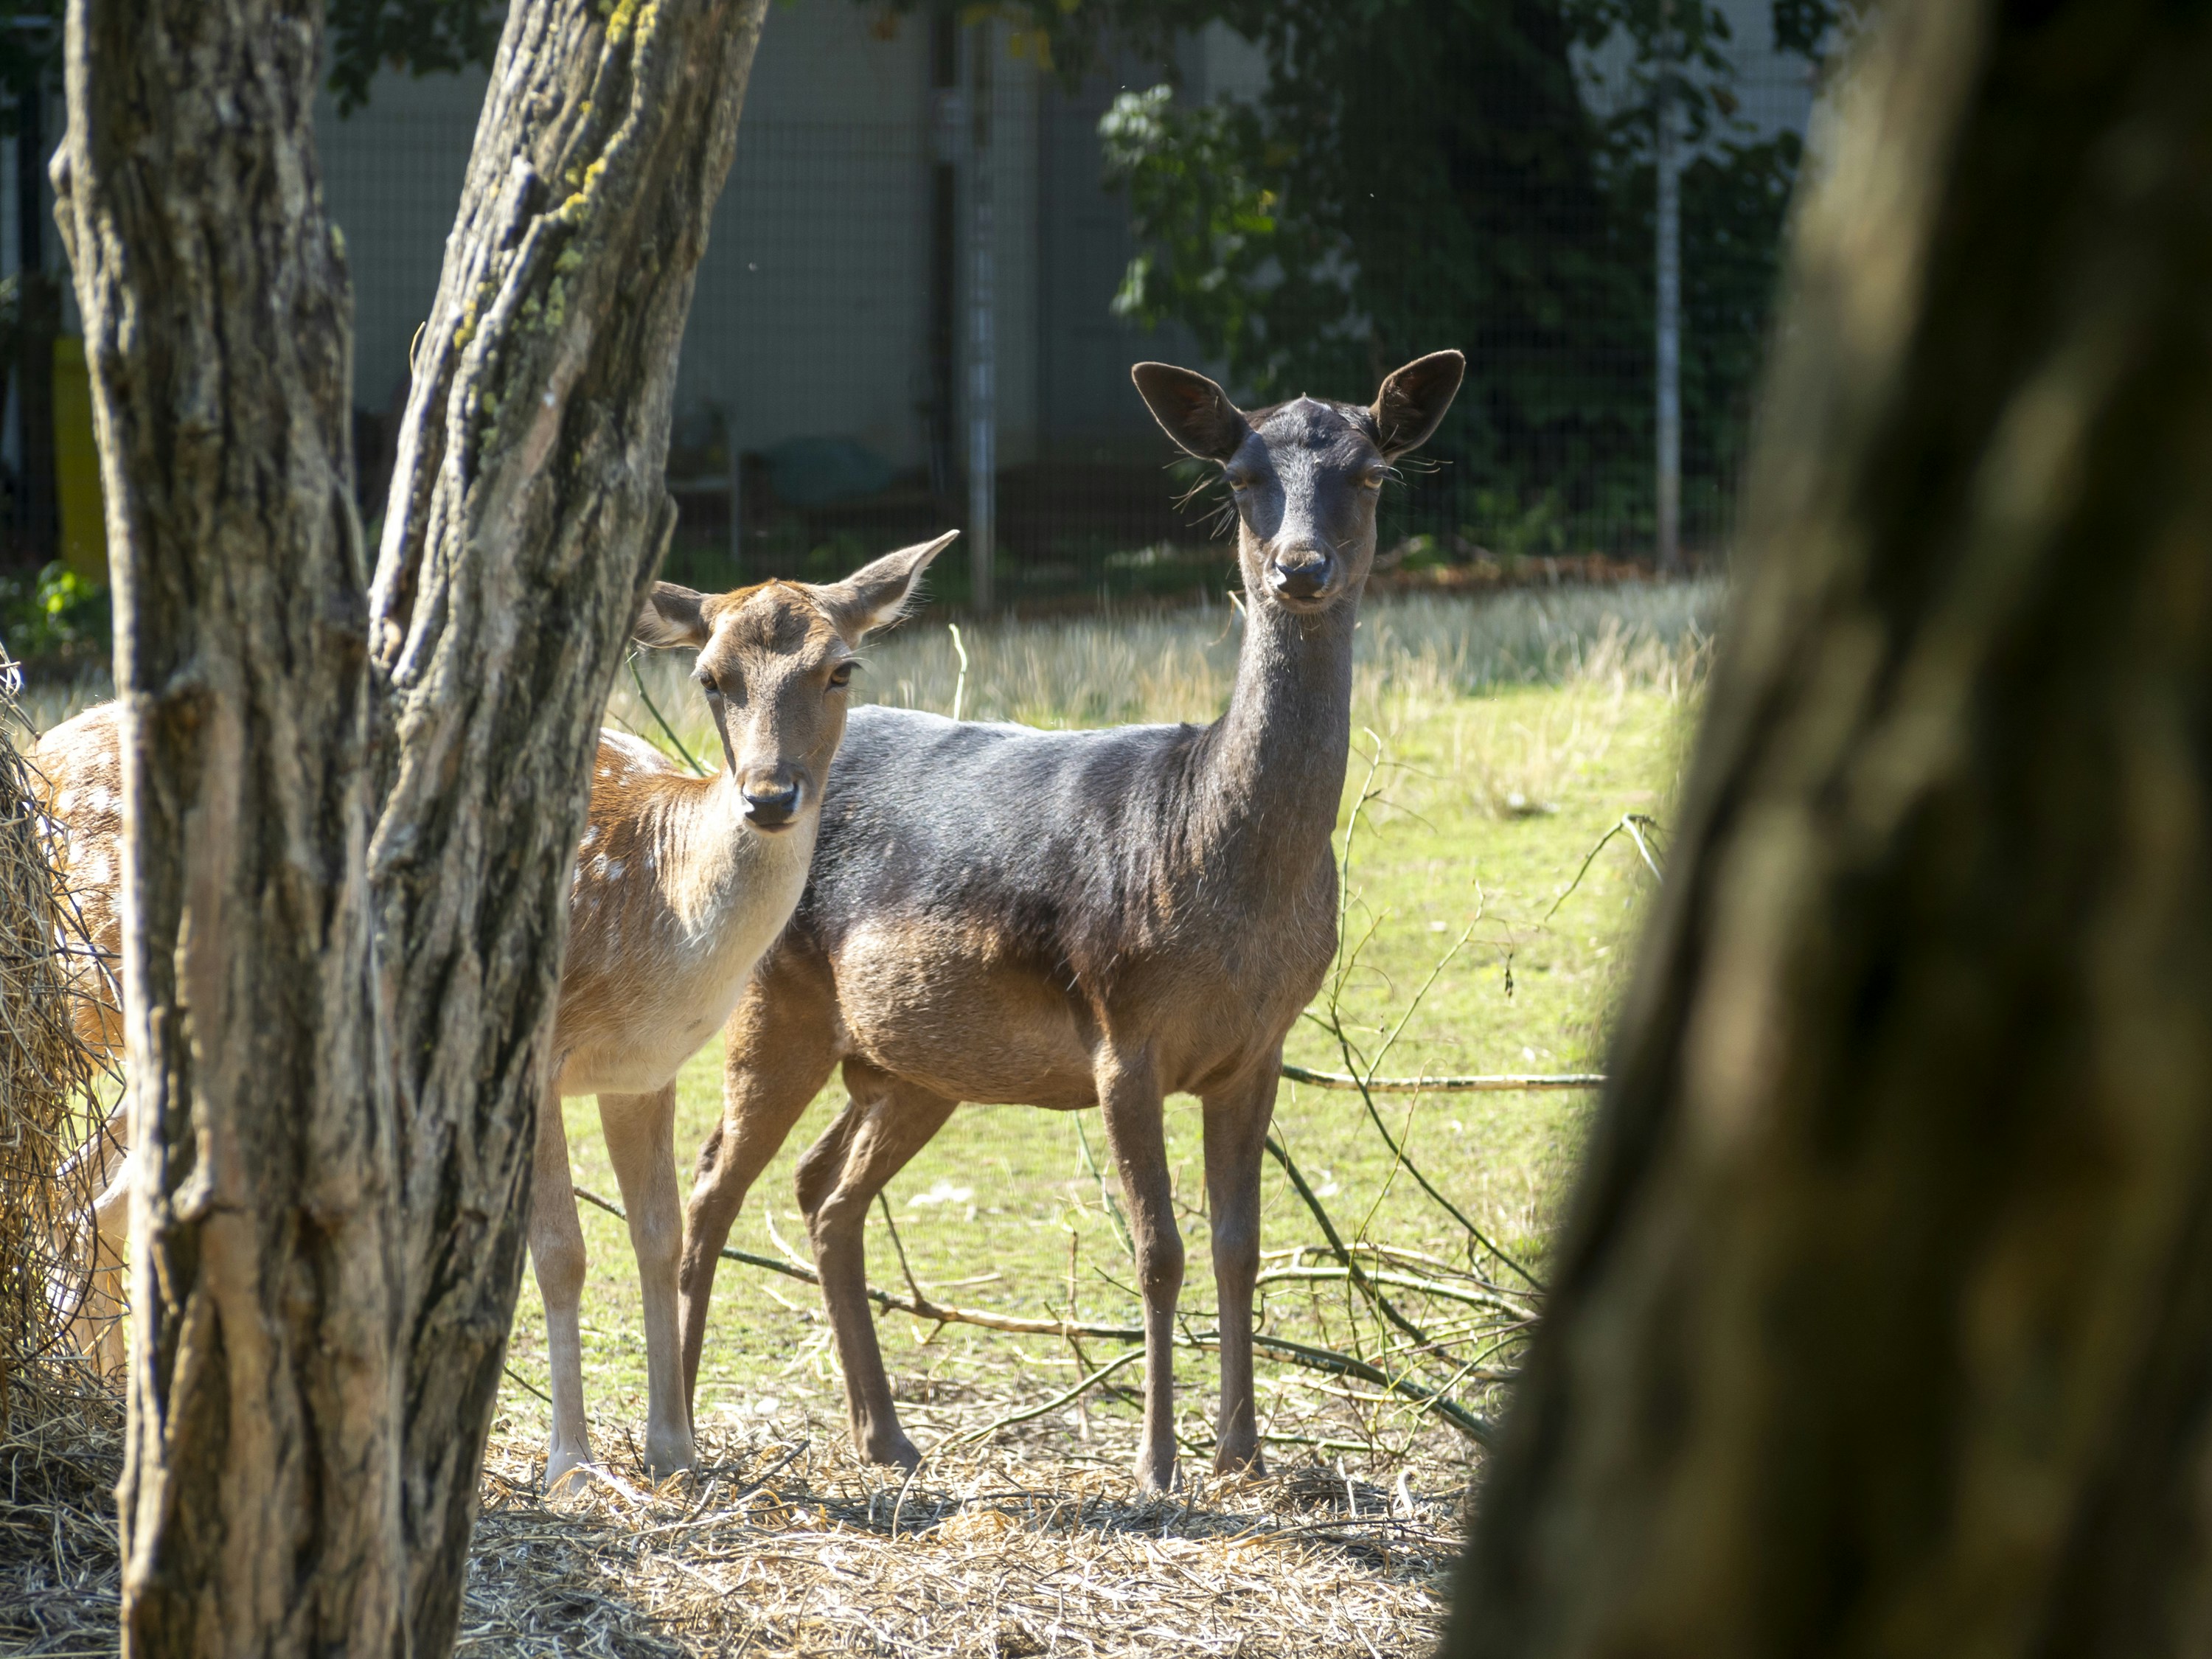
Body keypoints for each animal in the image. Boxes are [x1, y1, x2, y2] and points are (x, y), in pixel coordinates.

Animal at [28, 530, 955, 1491]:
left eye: (840, 669)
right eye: (710, 676)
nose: (769, 797)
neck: (668, 916)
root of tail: (36, 762)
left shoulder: (643, 1072)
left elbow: (658, 1238)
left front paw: (673, 1453)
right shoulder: (534, 1050)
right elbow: (561, 1252)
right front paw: (572, 1466)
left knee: (85, 1192)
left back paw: (105, 1400)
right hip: (113, 989)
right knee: (102, 1194)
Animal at [669, 353, 1465, 1492]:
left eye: (1369, 472)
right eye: (1240, 477)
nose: (1299, 567)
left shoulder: (1260, 1045)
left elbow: (1239, 1244)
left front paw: (1244, 1453)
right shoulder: (1121, 1029)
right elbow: (1159, 1247)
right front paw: (1159, 1466)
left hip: (915, 1060)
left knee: (824, 1189)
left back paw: (887, 1436)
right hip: (772, 1001)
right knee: (708, 1184)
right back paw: (682, 1436)